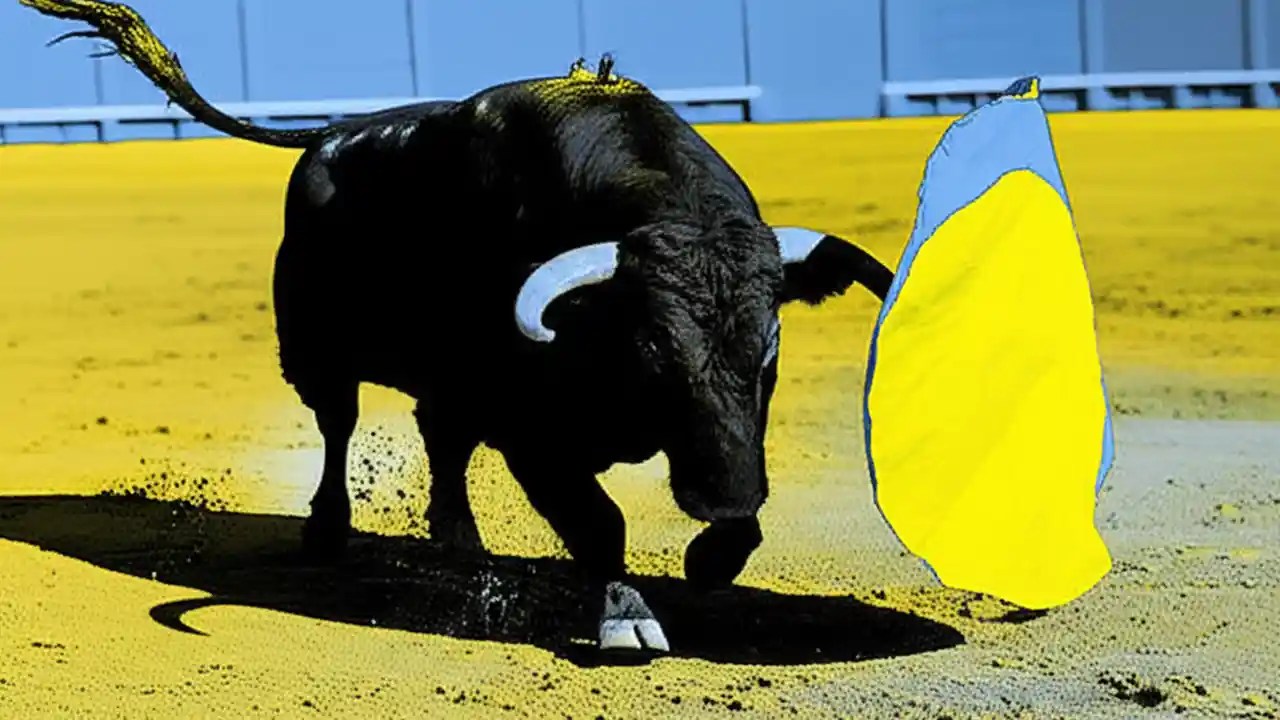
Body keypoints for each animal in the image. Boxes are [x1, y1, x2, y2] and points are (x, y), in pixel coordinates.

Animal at [26, 0, 895, 653]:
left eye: (770, 348)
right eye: (653, 345)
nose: (720, 498)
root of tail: (329, 136)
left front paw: (715, 555)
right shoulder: (530, 432)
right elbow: (598, 522)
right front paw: (627, 618)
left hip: (436, 381)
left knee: (438, 437)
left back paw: (456, 537)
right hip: (316, 352)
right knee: (339, 425)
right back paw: (328, 531)